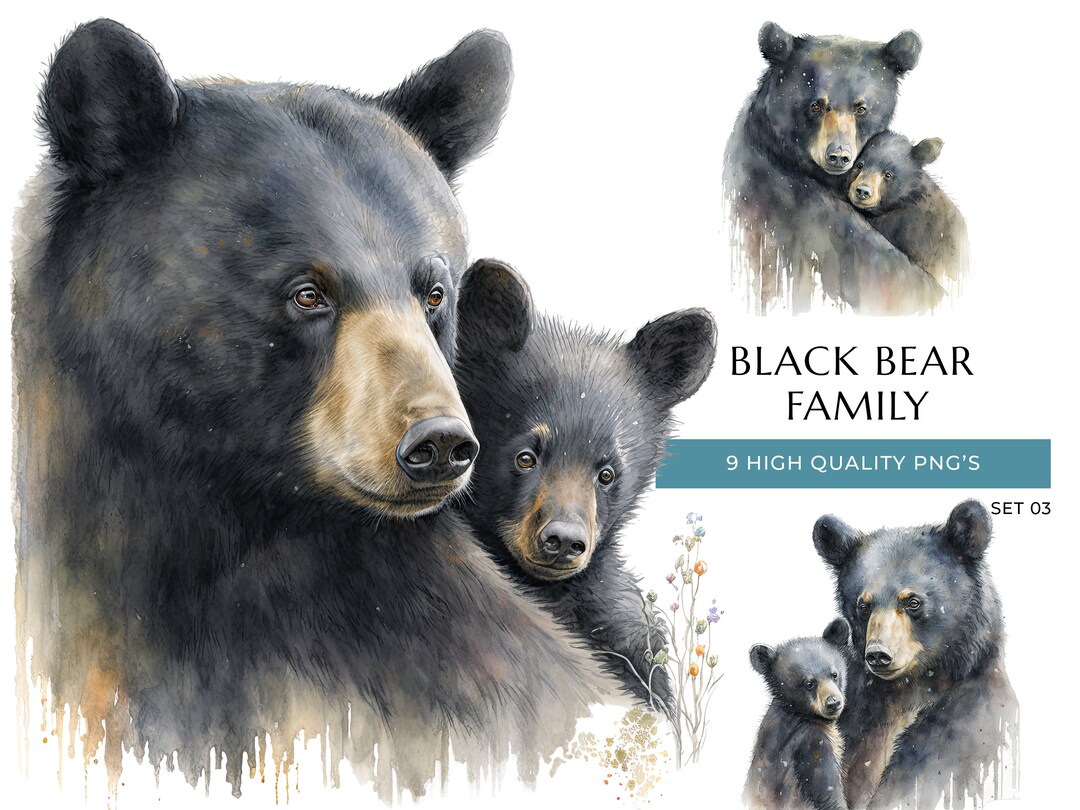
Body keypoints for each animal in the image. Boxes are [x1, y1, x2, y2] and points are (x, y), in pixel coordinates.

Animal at [744, 617, 854, 810]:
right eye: (808, 683)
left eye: (834, 674)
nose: (833, 702)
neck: (799, 713)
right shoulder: (813, 747)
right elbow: (828, 793)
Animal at [813, 500, 1019, 809]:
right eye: (863, 605)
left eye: (912, 602)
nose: (878, 654)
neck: (910, 690)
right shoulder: (860, 718)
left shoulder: (971, 725)